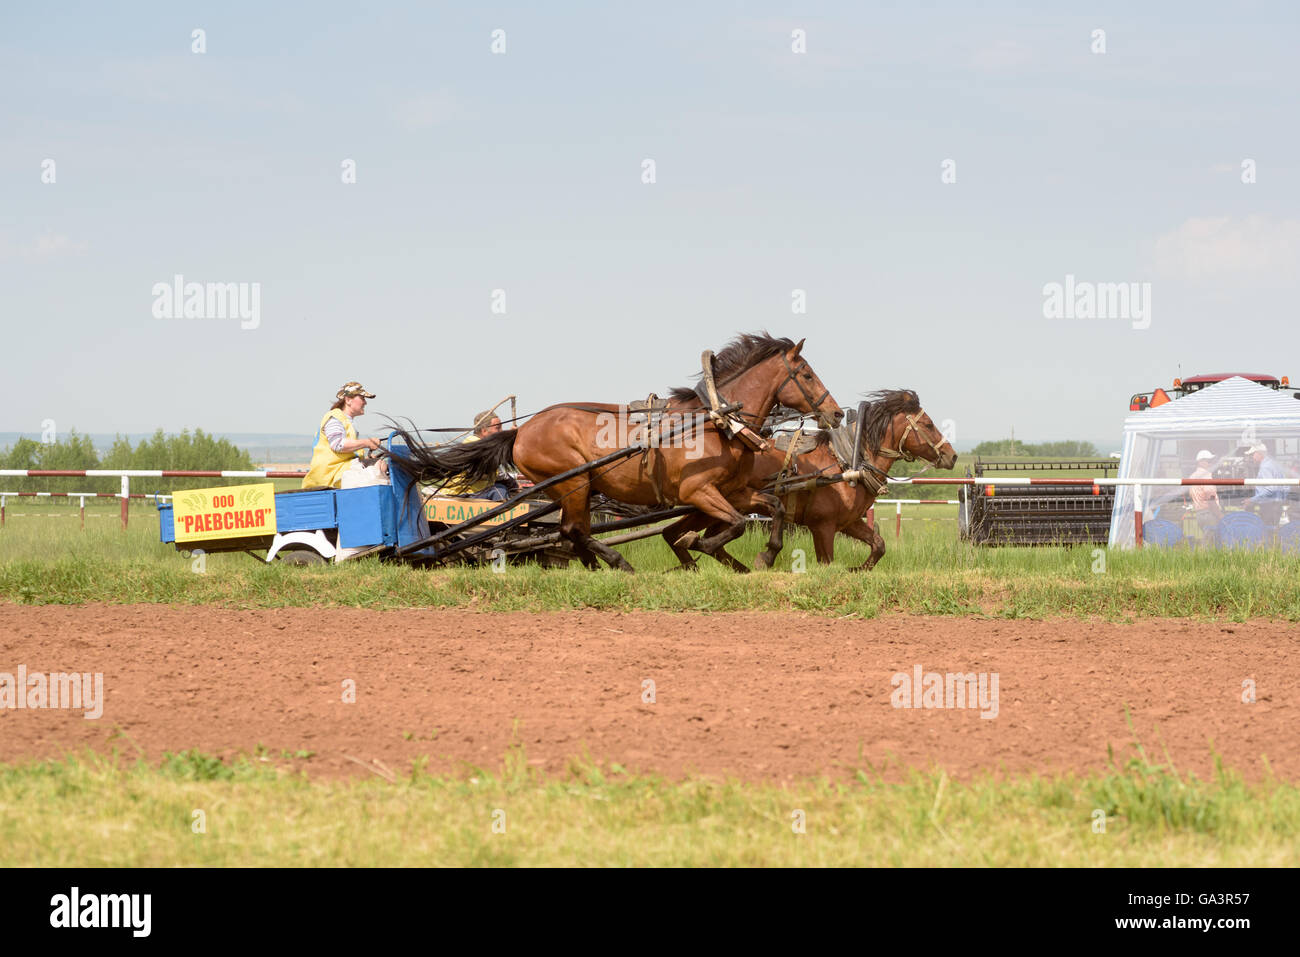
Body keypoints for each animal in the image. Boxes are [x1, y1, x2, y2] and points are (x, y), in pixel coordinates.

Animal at [389, 333, 843, 572]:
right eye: (805, 374)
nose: (837, 413)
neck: (716, 420)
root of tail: (522, 430)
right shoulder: (697, 492)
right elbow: (731, 525)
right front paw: (705, 546)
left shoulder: (733, 492)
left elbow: (773, 508)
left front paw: (762, 556)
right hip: (574, 481)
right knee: (574, 531)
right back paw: (618, 563)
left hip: (578, 489)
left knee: (570, 533)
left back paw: (596, 567)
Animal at [664, 389, 957, 570]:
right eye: (928, 424)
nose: (951, 456)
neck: (846, 462)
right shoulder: (823, 527)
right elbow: (826, 561)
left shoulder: (849, 523)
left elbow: (879, 545)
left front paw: (856, 569)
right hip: (712, 503)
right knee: (688, 535)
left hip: (709, 508)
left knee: (676, 534)